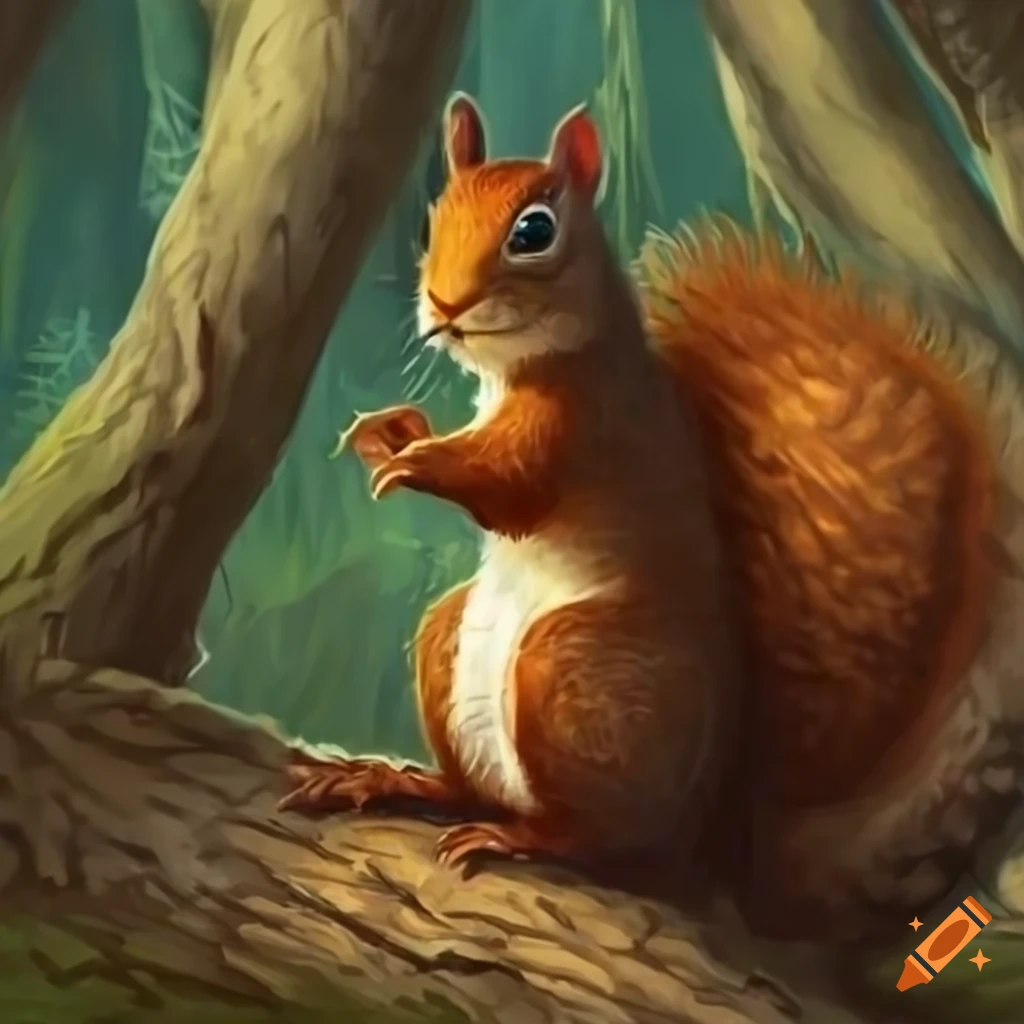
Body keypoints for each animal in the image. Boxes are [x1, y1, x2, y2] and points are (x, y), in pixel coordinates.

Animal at [282, 93, 1024, 941]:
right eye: (434, 218)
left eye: (534, 231)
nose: (443, 305)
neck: (525, 364)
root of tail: (708, 843)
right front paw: (391, 433)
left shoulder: (586, 424)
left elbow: (508, 482)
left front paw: (419, 461)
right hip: (448, 645)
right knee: (470, 787)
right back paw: (384, 779)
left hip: (570, 675)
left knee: (600, 839)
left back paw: (524, 837)